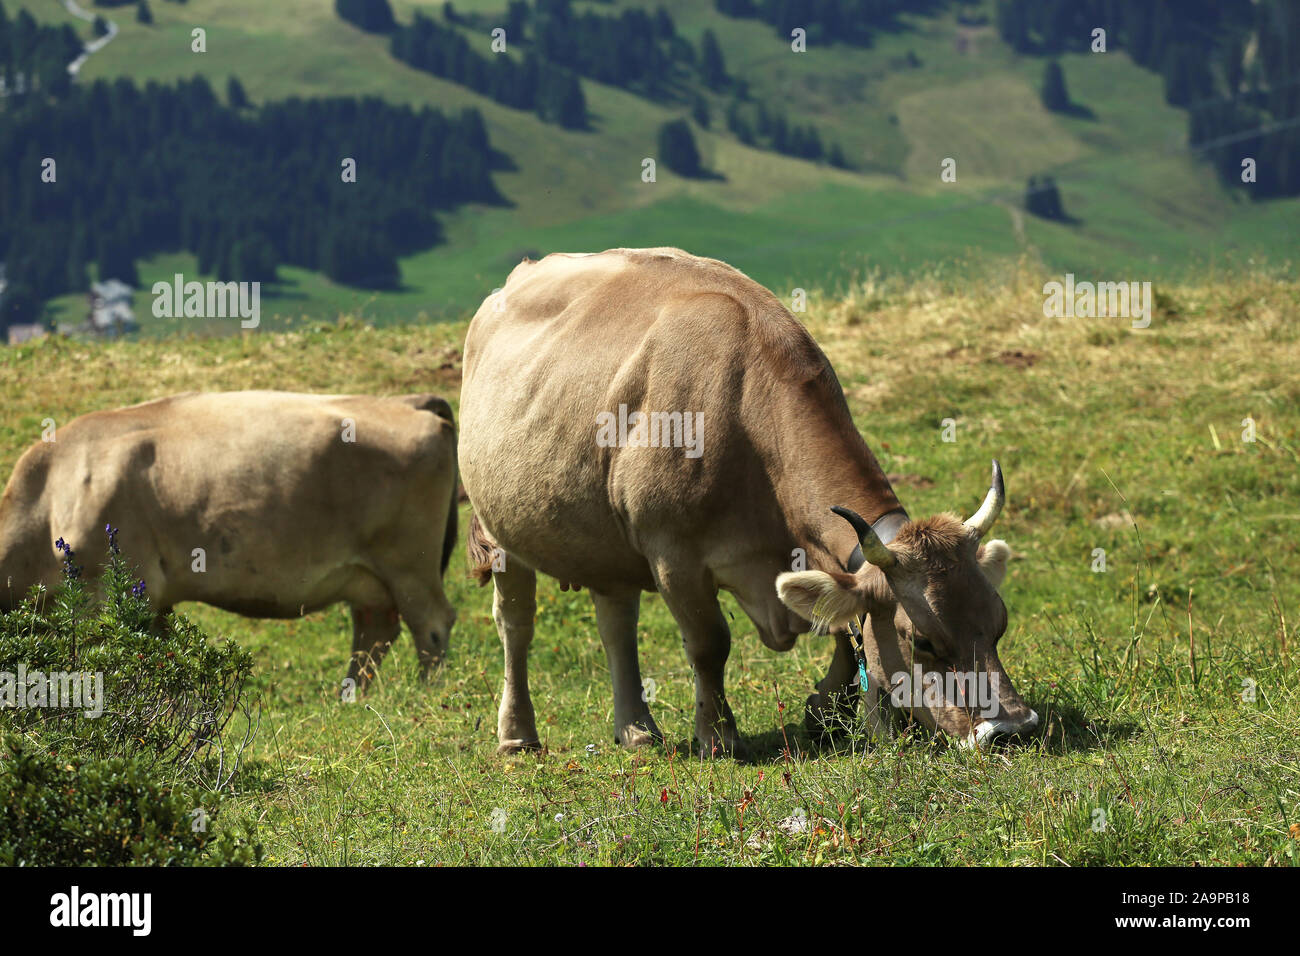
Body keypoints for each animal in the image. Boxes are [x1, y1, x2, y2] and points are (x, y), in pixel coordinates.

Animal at [0, 391, 458, 692]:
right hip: (368, 575)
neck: (48, 497)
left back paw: (426, 693)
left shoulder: (111, 589)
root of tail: (407, 402)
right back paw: (351, 697)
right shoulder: (155, 599)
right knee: (375, 629)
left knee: (432, 625)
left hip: (409, 563)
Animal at [459, 248, 1039, 756]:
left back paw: (638, 731)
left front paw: (823, 712)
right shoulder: (673, 555)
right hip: (498, 527)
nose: (1011, 730)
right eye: (923, 641)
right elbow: (710, 643)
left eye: (1000, 621)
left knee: (615, 621)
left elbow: (840, 628)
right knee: (515, 624)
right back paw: (518, 735)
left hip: (607, 542)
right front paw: (719, 736)